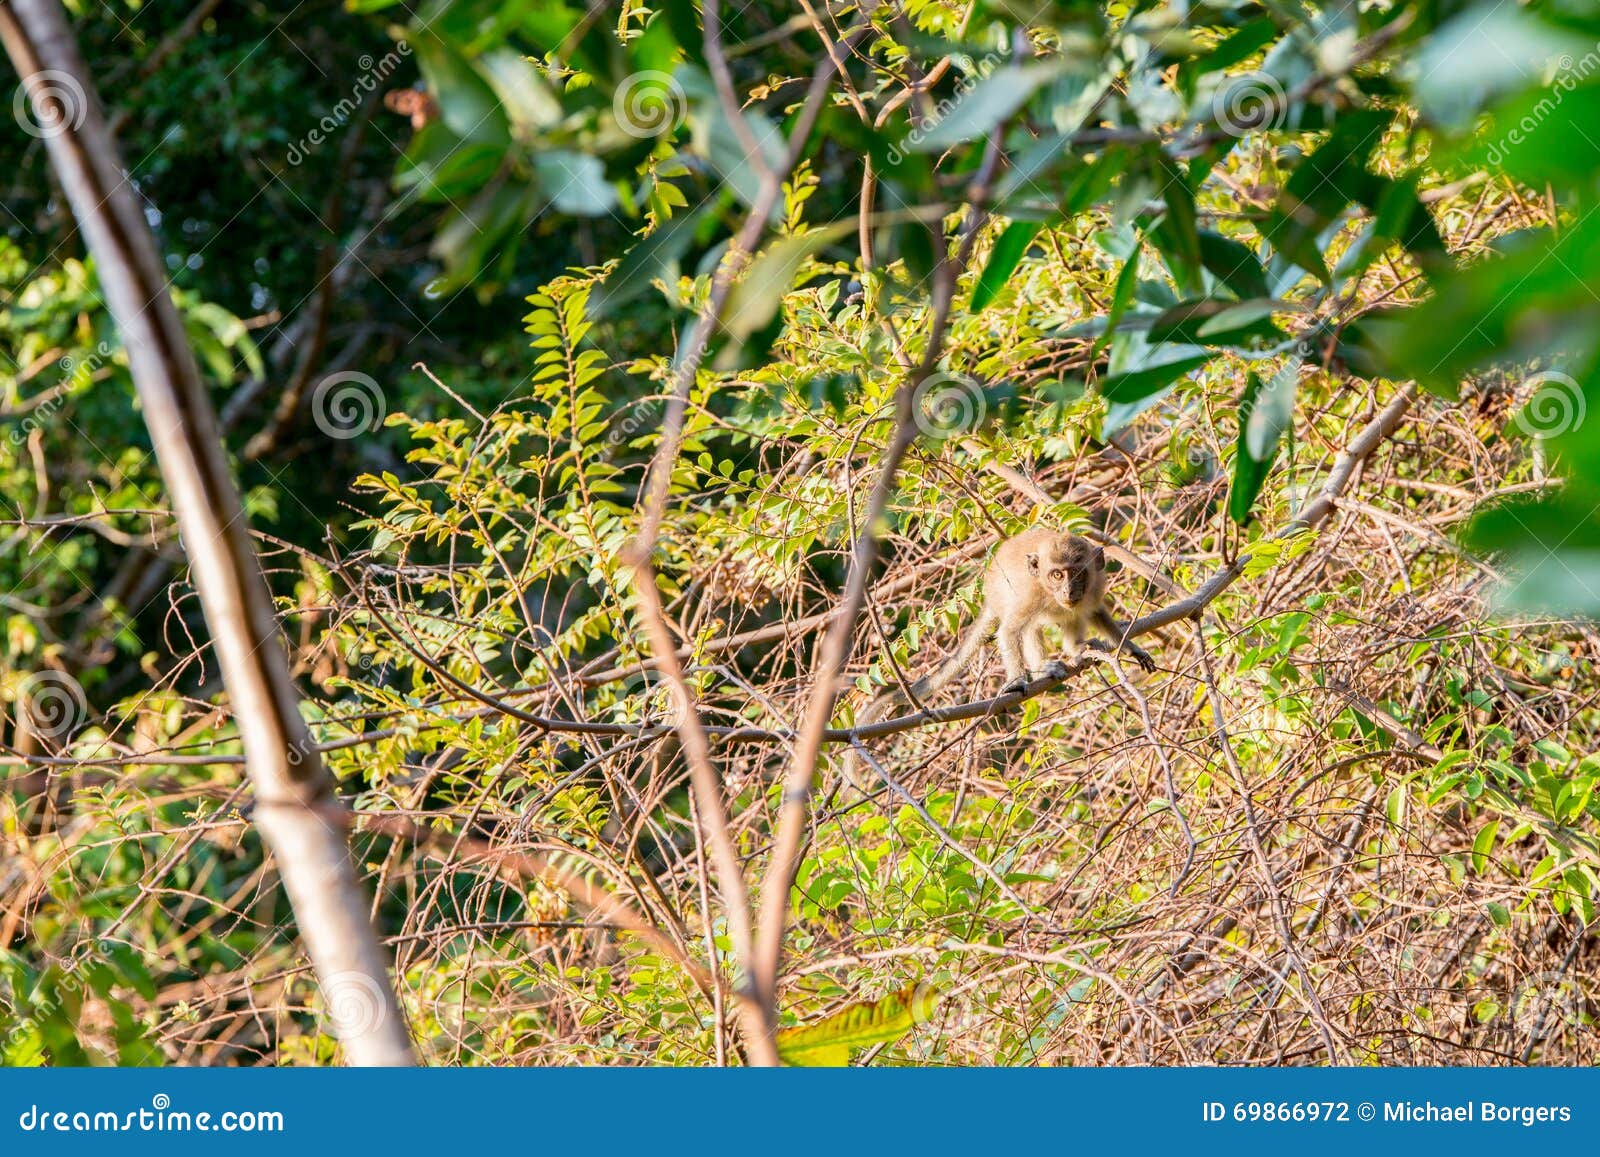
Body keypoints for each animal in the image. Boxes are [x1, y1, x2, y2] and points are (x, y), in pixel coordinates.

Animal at [843, 528, 1154, 787]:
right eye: (1057, 575)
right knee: (1029, 627)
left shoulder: (1094, 586)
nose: (1068, 590)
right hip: (1006, 596)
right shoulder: (1032, 593)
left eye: (1076, 574)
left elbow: (1096, 612)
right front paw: (1017, 681)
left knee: (1071, 616)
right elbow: (1011, 630)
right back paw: (1047, 665)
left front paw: (1131, 647)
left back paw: (1076, 647)